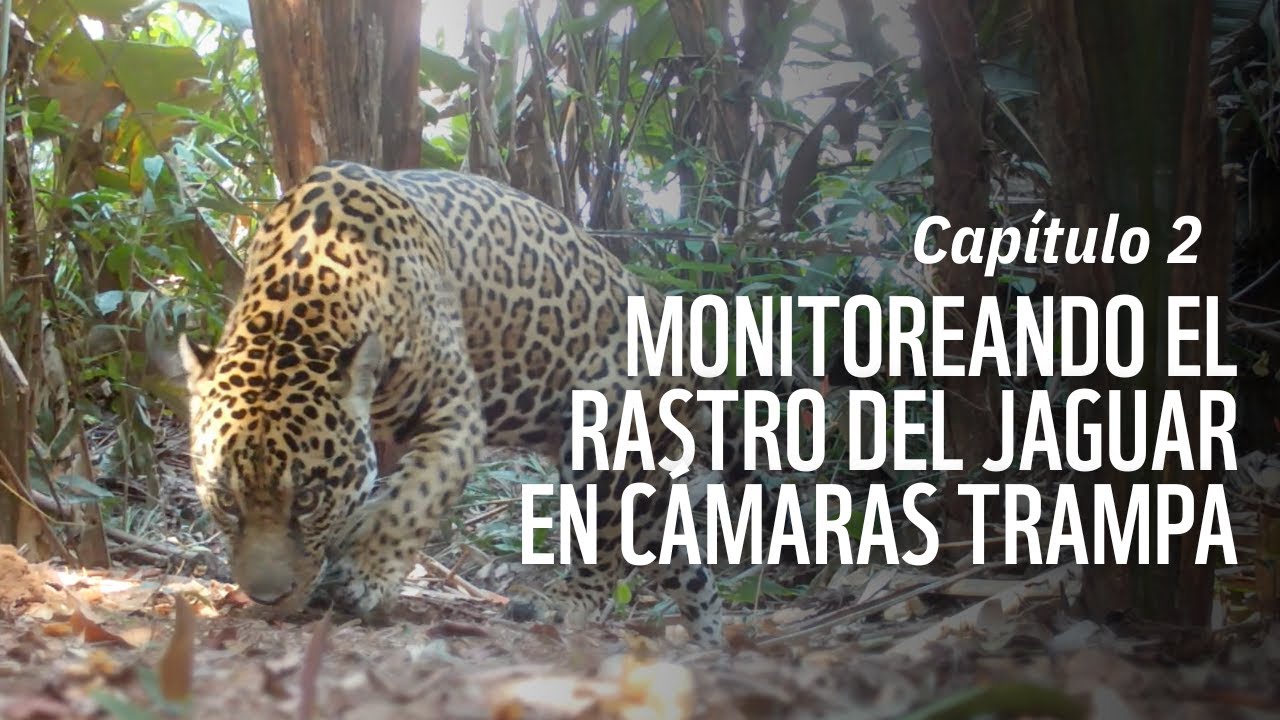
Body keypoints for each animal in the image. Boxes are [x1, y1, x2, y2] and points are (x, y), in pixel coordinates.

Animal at [177, 160, 765, 644]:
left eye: (306, 500)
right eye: (225, 500)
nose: (267, 598)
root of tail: (683, 328)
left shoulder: (455, 415)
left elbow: (410, 501)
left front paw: (365, 574)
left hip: (605, 441)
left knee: (604, 550)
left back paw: (558, 605)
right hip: (649, 481)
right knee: (682, 562)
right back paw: (711, 645)